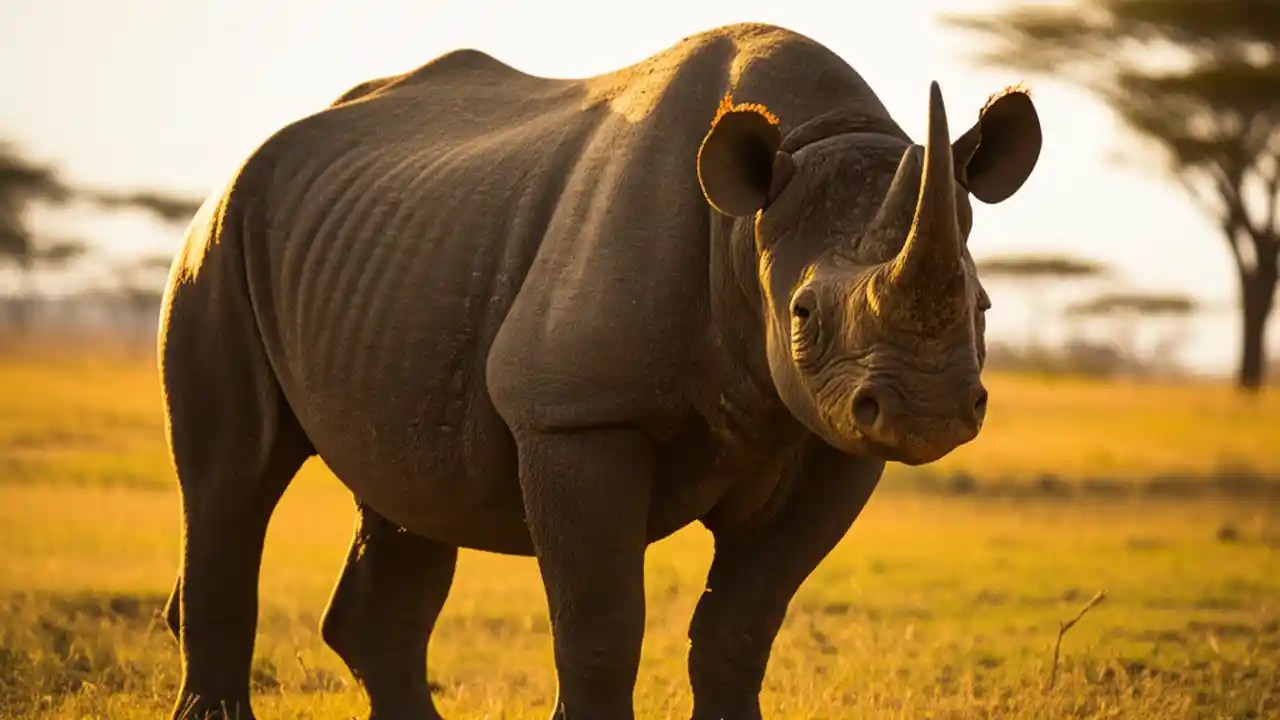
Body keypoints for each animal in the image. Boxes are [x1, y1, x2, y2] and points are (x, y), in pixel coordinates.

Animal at [159, 22, 1040, 720]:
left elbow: (741, 627)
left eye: (984, 307)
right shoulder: (575, 413)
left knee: (408, 494)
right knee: (233, 477)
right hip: (222, 234)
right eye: (802, 315)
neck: (746, 228)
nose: (926, 413)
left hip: (389, 261)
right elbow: (601, 629)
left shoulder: (829, 443)